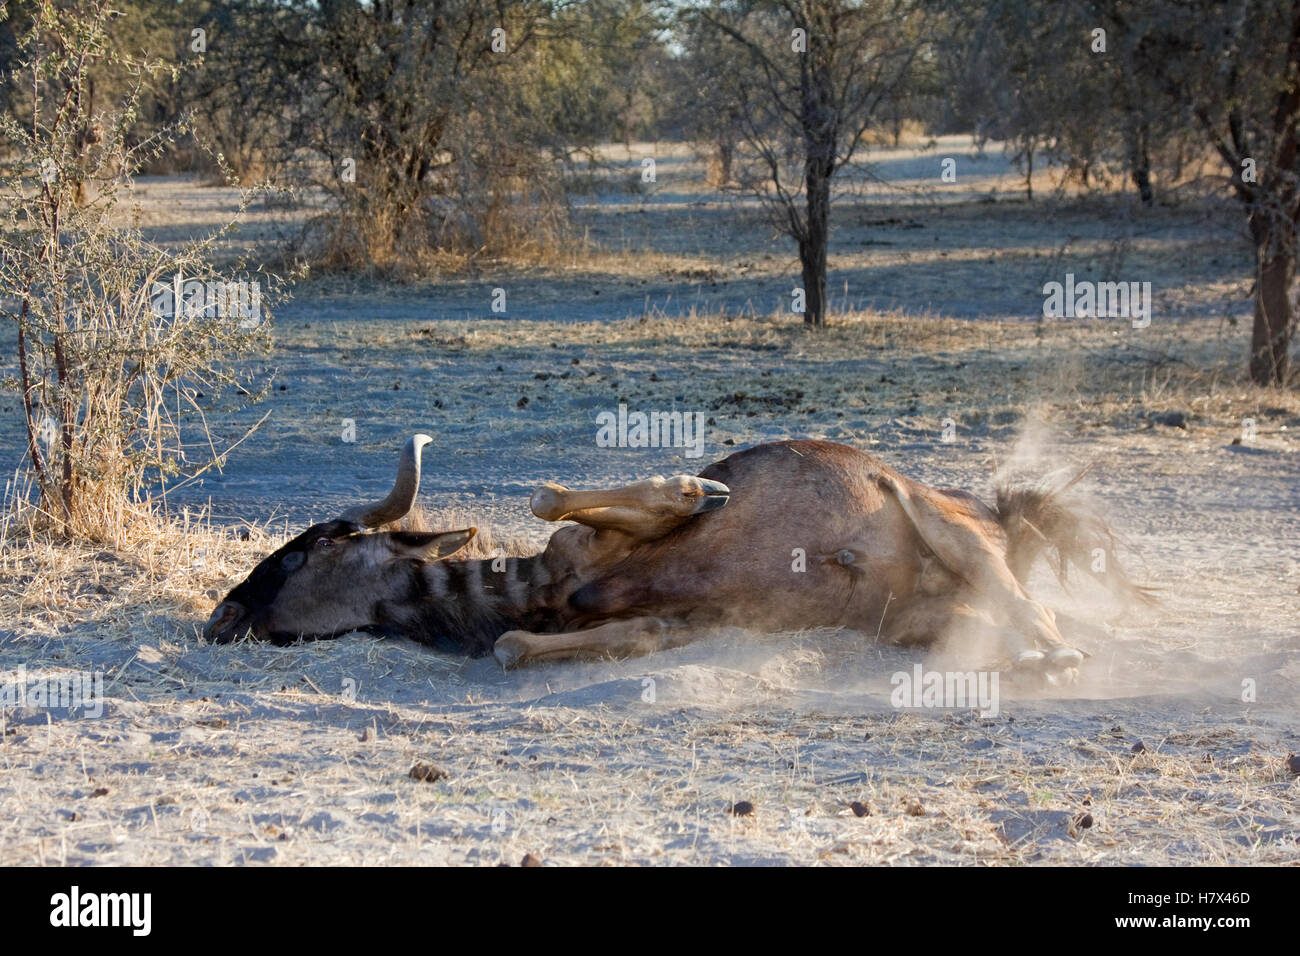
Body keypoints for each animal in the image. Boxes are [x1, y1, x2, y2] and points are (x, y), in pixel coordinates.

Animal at [205, 435, 1150, 675]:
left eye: (303, 551)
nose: (219, 615)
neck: (537, 586)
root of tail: (1003, 512)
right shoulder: (679, 618)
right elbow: (513, 647)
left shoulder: (601, 535)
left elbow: (553, 494)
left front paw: (702, 488)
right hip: (922, 618)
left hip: (938, 520)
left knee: (1035, 605)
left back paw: (1054, 654)